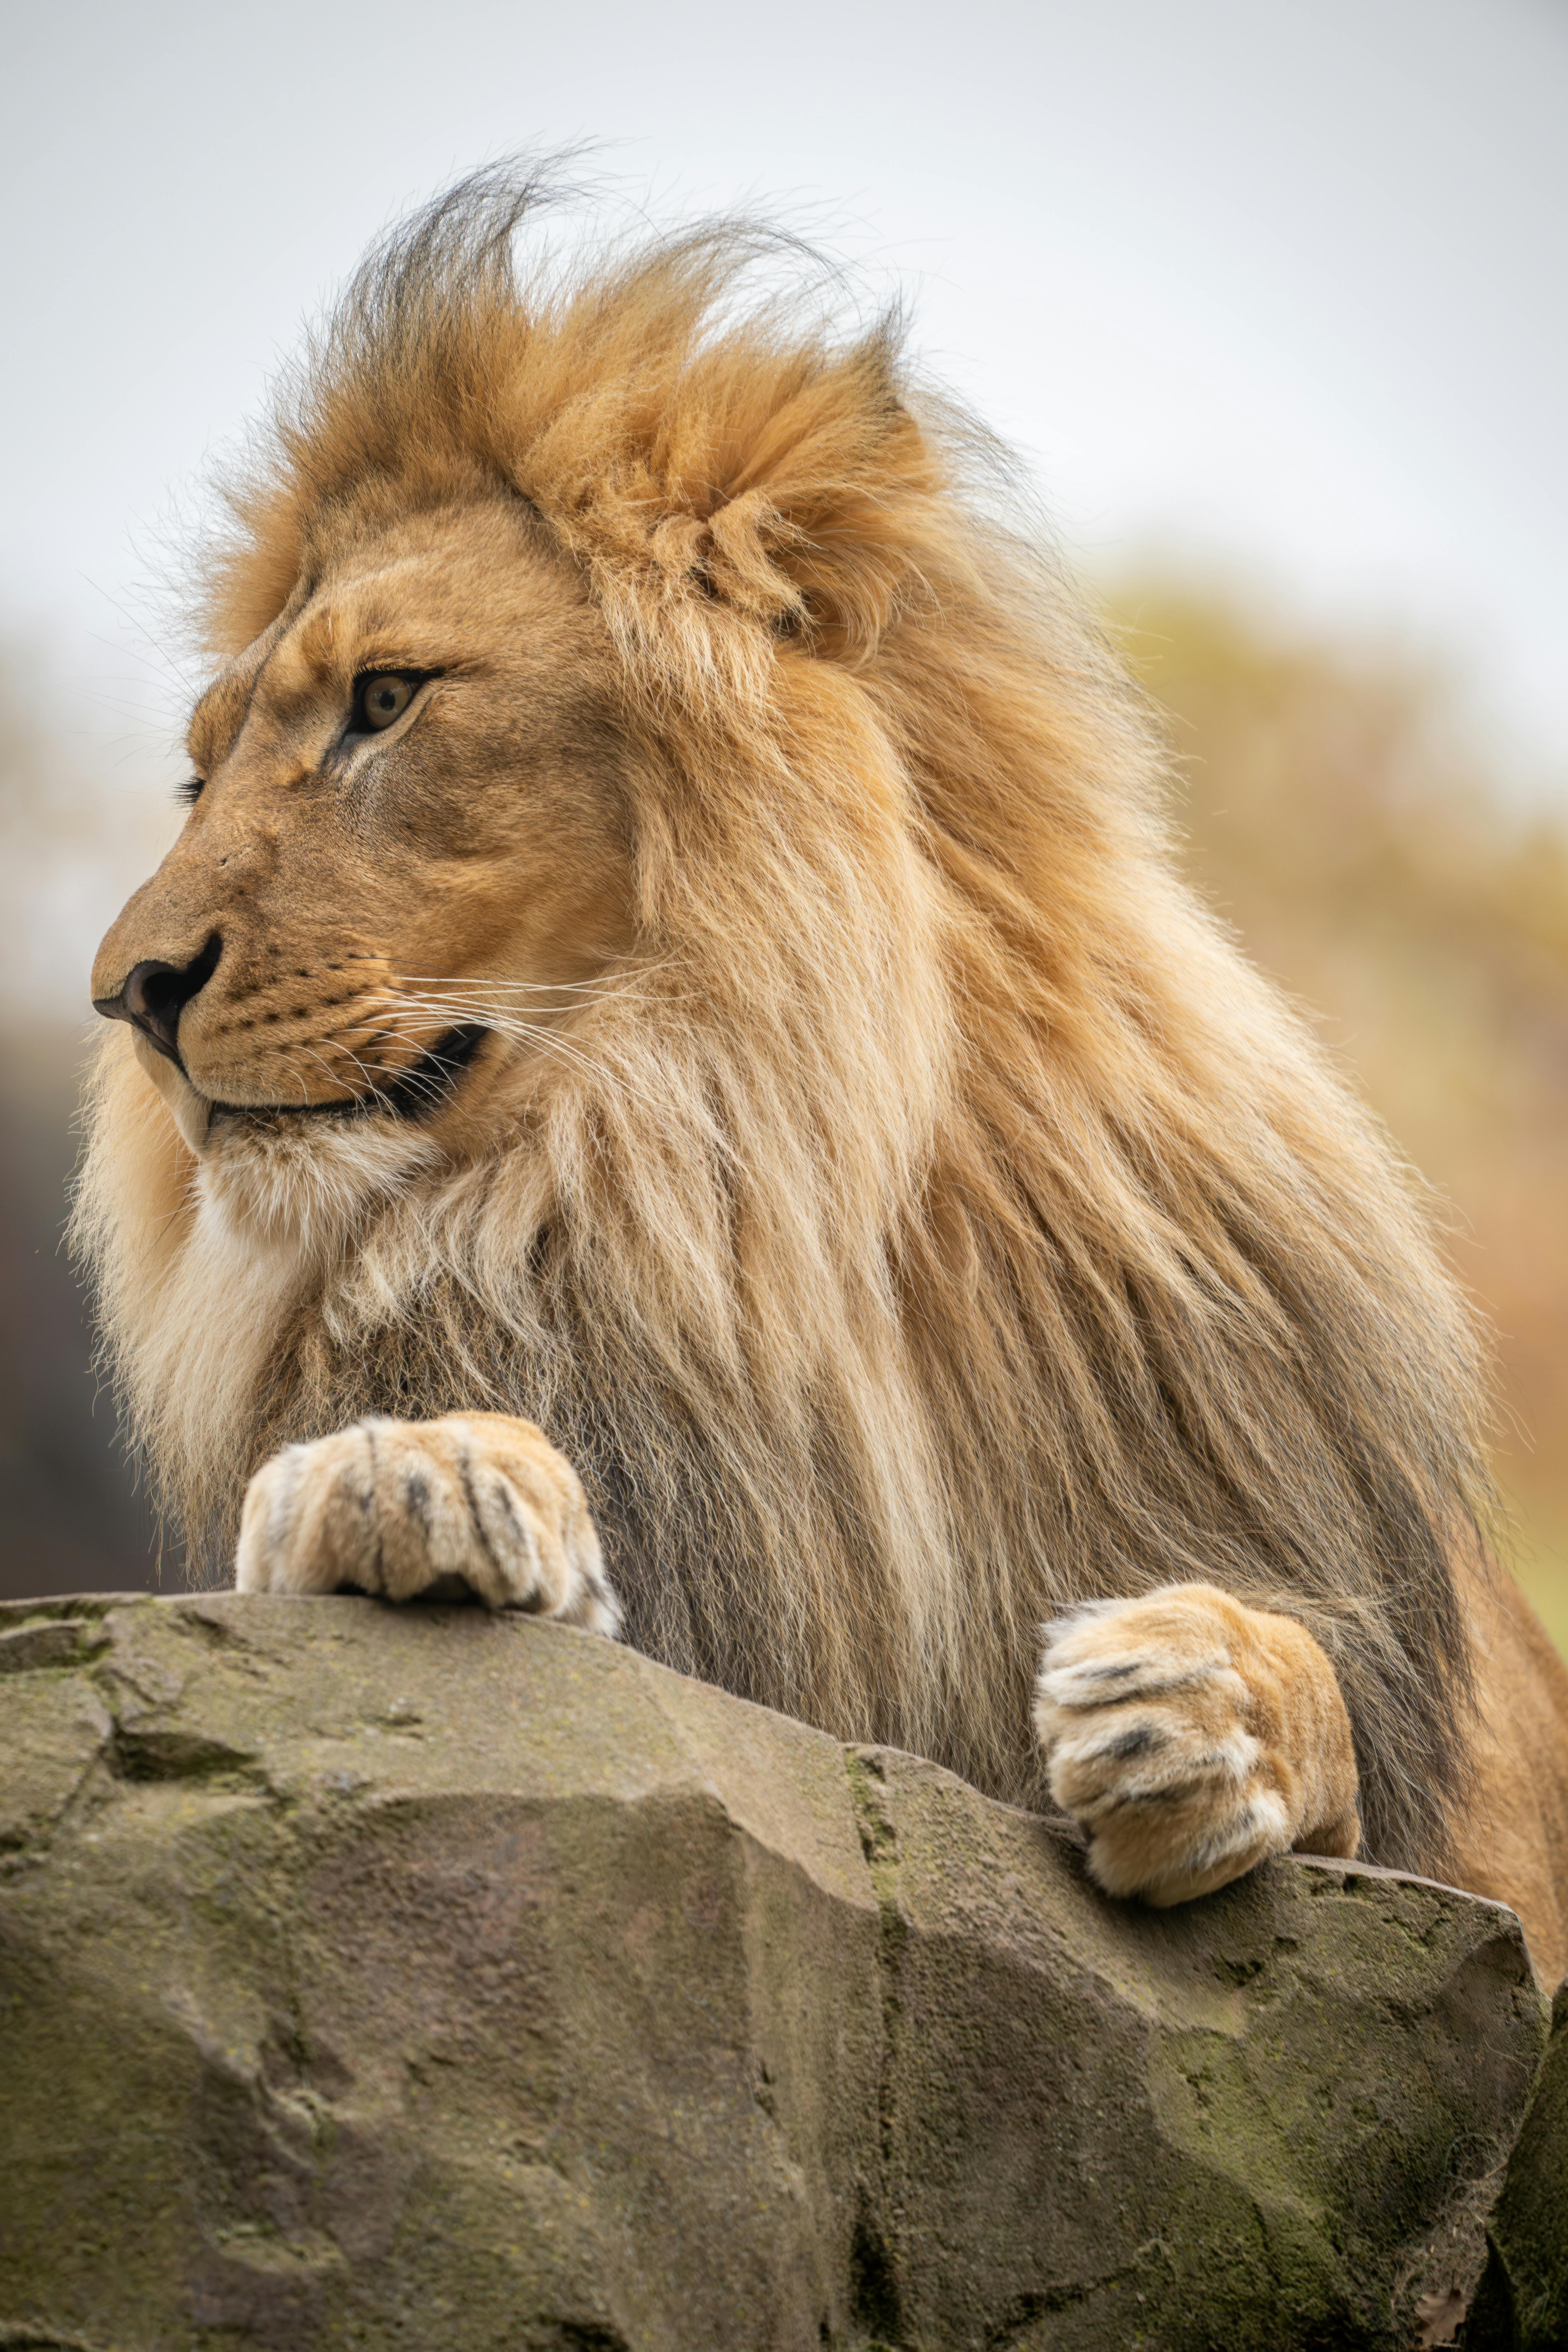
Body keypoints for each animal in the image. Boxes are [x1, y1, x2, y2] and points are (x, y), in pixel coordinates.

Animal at [75, 166, 1568, 1982]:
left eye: (384, 698)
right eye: (198, 773)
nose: (126, 993)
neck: (718, 1160)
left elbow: (1334, 1705)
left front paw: (1195, 1701)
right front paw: (407, 1471)